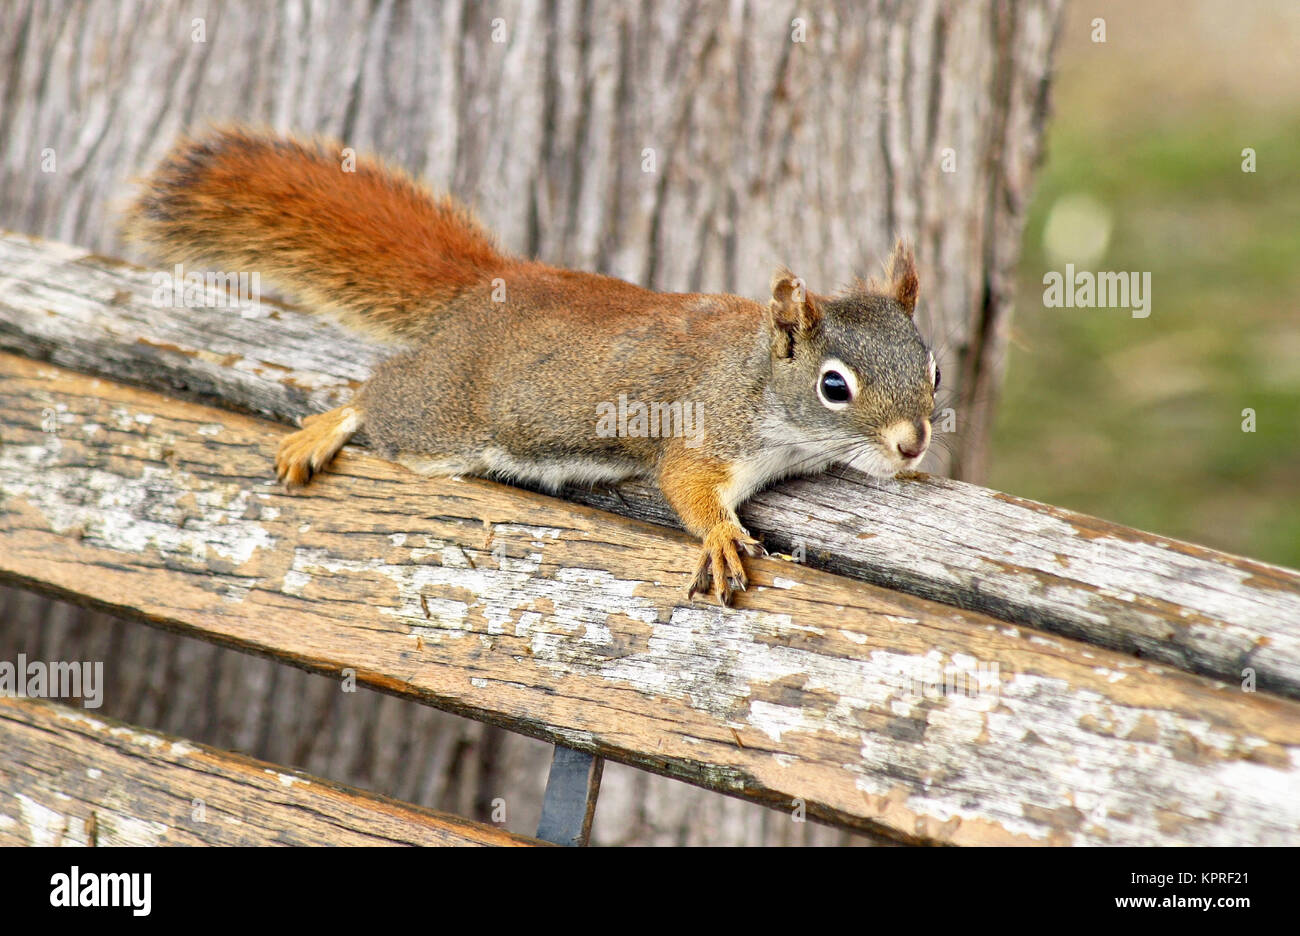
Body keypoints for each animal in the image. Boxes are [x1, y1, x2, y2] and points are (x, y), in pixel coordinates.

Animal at [125, 127, 938, 606]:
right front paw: (718, 537)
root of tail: (489, 288)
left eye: (933, 373)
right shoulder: (706, 428)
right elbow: (686, 485)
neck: (761, 380)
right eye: (834, 386)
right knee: (380, 395)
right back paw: (326, 426)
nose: (913, 444)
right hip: (441, 420)